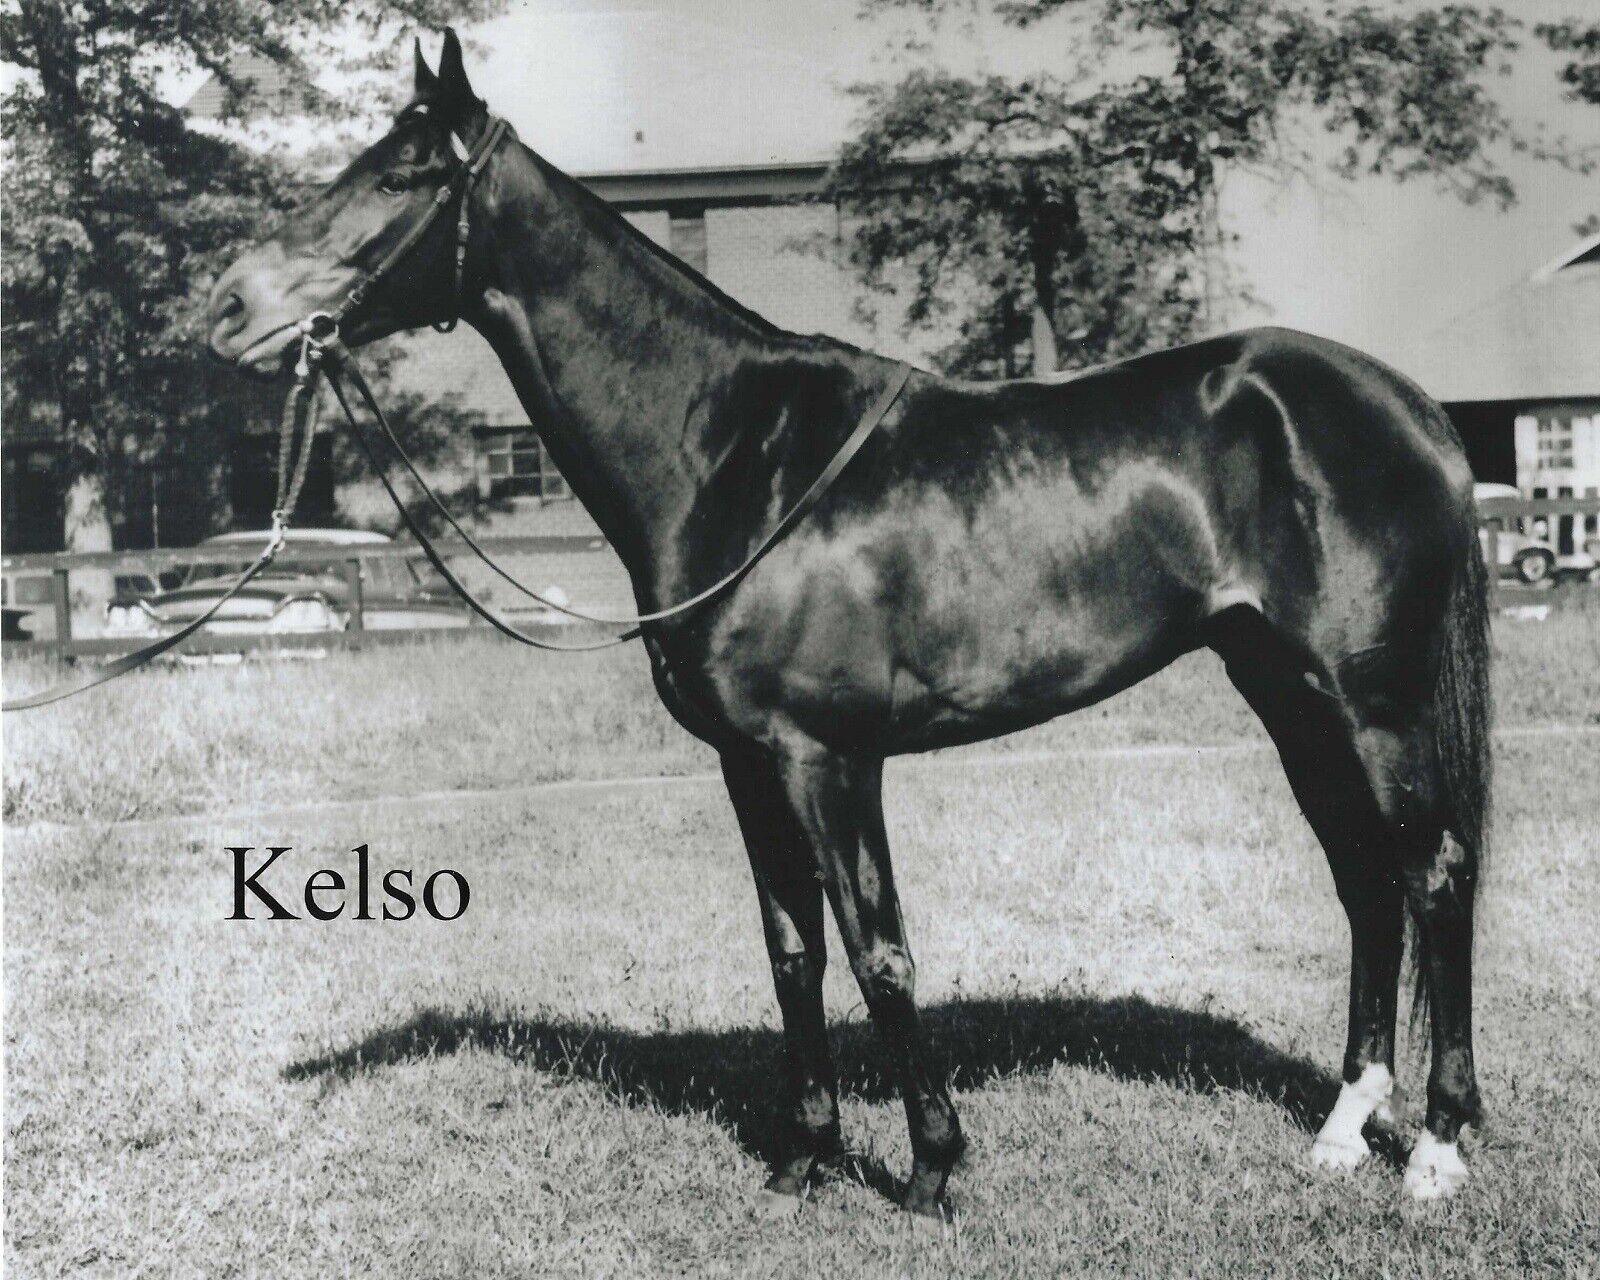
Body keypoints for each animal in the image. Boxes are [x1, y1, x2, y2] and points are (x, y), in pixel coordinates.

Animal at [208, 31, 1491, 1217]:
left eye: (401, 173)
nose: (228, 305)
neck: (735, 453)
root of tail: (1404, 402)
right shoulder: (749, 763)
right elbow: (795, 952)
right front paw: (808, 1159)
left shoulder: (827, 757)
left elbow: (879, 952)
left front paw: (931, 1167)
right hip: (1288, 694)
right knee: (1365, 881)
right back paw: (1343, 1127)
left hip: (1368, 701)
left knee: (1431, 871)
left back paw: (1434, 1146)